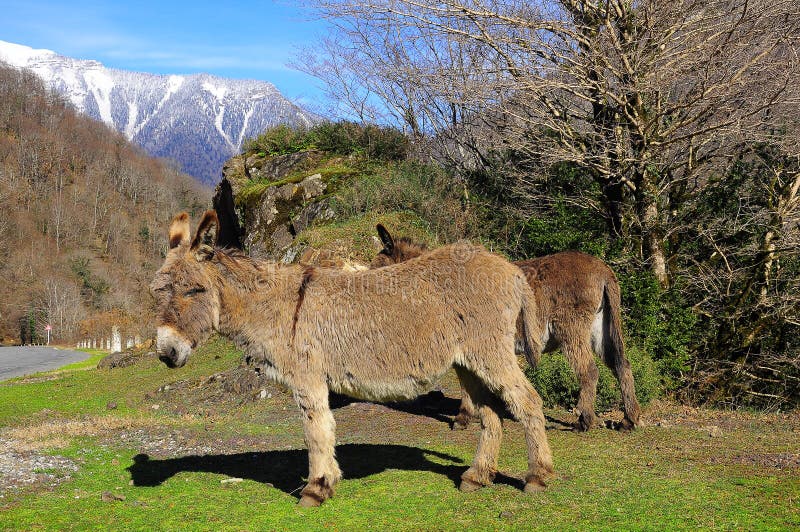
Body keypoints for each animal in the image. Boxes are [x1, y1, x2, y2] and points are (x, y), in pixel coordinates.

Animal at [151, 210, 554, 506]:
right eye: (156, 292)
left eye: (194, 290)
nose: (166, 353)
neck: (276, 307)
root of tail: (511, 269)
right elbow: (325, 430)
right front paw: (327, 481)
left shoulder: (308, 379)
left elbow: (316, 432)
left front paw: (316, 488)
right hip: (468, 362)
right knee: (491, 415)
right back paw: (477, 476)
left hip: (491, 354)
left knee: (528, 402)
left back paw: (537, 477)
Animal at [372, 224, 641, 432]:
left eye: (377, 271)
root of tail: (602, 268)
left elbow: (466, 385)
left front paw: (463, 418)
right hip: (600, 328)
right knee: (622, 365)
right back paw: (629, 420)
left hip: (571, 330)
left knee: (589, 371)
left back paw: (583, 421)